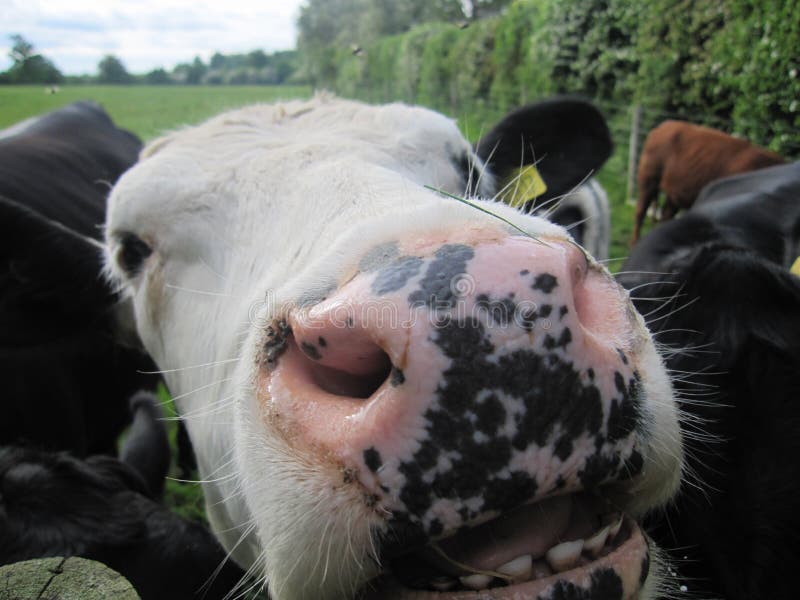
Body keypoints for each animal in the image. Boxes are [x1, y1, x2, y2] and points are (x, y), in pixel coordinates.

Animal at [630, 119, 785, 245]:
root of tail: (661, 128)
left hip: (673, 195)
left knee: (665, 215)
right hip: (648, 181)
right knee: (640, 212)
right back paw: (634, 244)